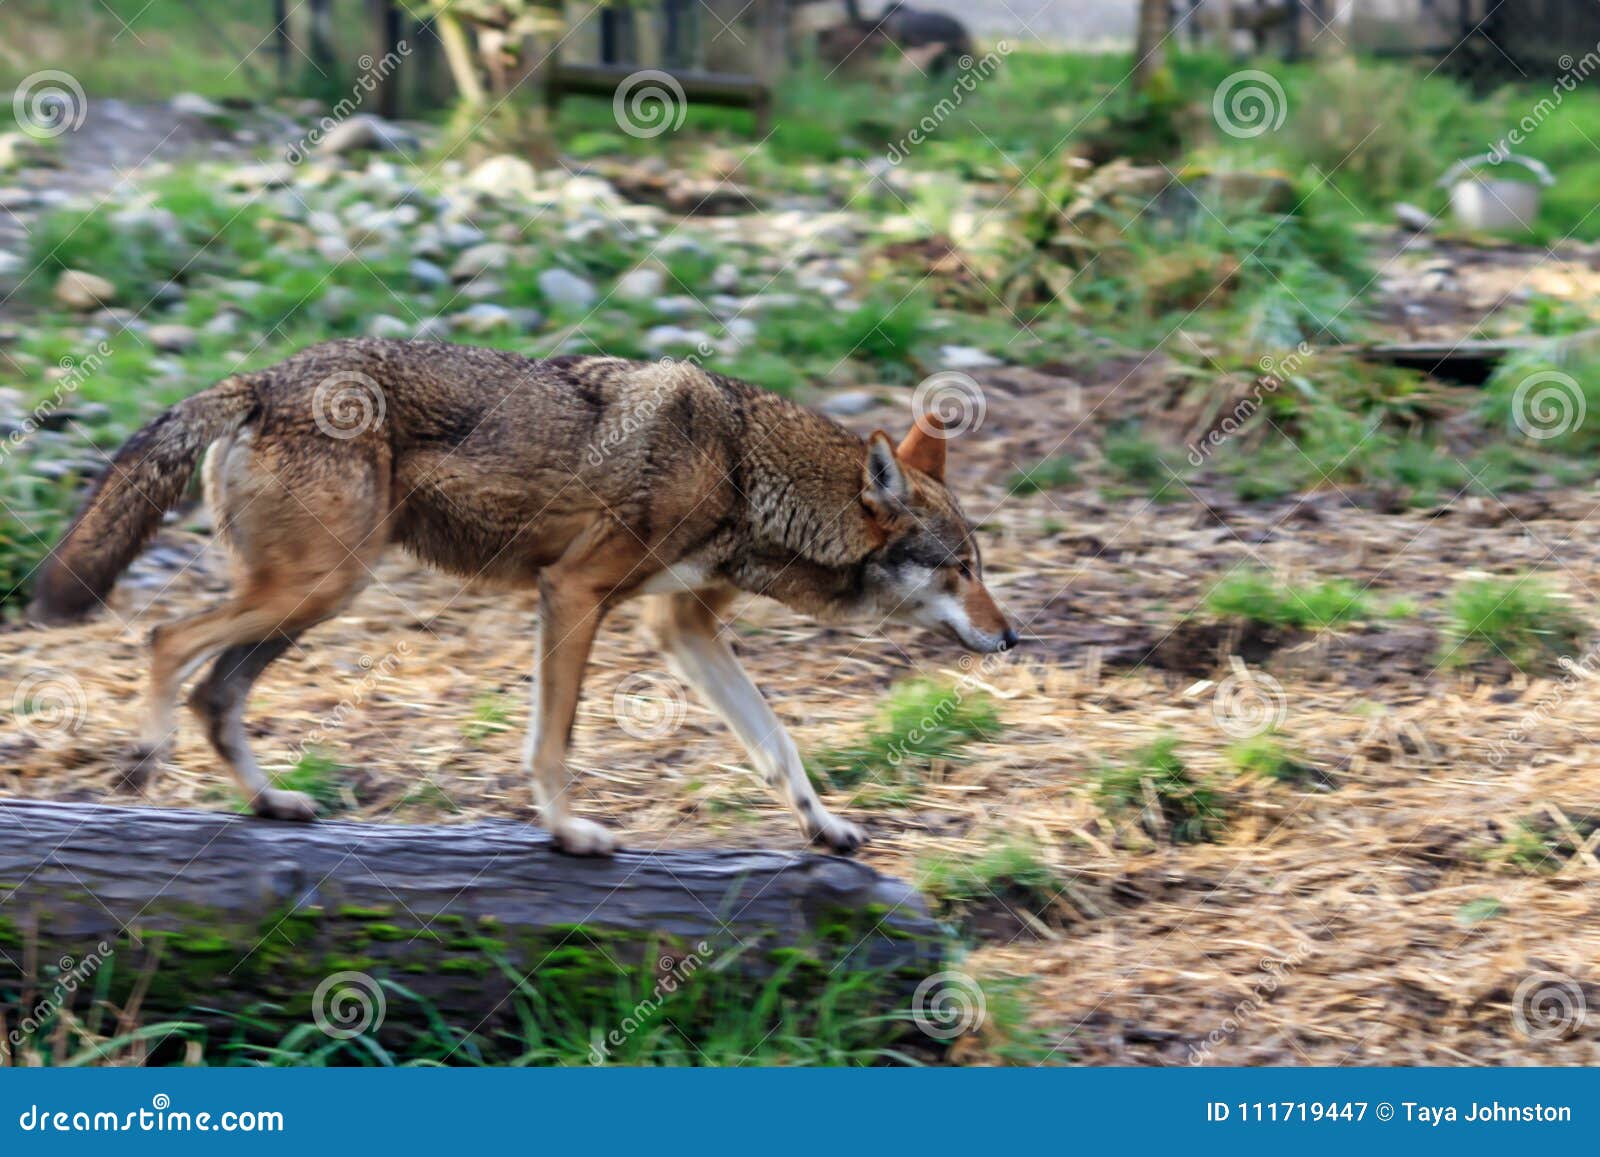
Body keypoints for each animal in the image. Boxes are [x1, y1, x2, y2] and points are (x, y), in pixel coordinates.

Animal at [31, 338, 1018, 855]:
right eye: (961, 568)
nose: (1012, 637)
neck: (744, 468)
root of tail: (264, 378)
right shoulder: (575, 592)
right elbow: (553, 742)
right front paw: (569, 831)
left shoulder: (682, 626)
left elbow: (777, 743)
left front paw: (826, 826)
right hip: (320, 586)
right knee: (165, 637)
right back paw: (142, 759)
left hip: (321, 597)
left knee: (216, 692)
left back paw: (273, 804)